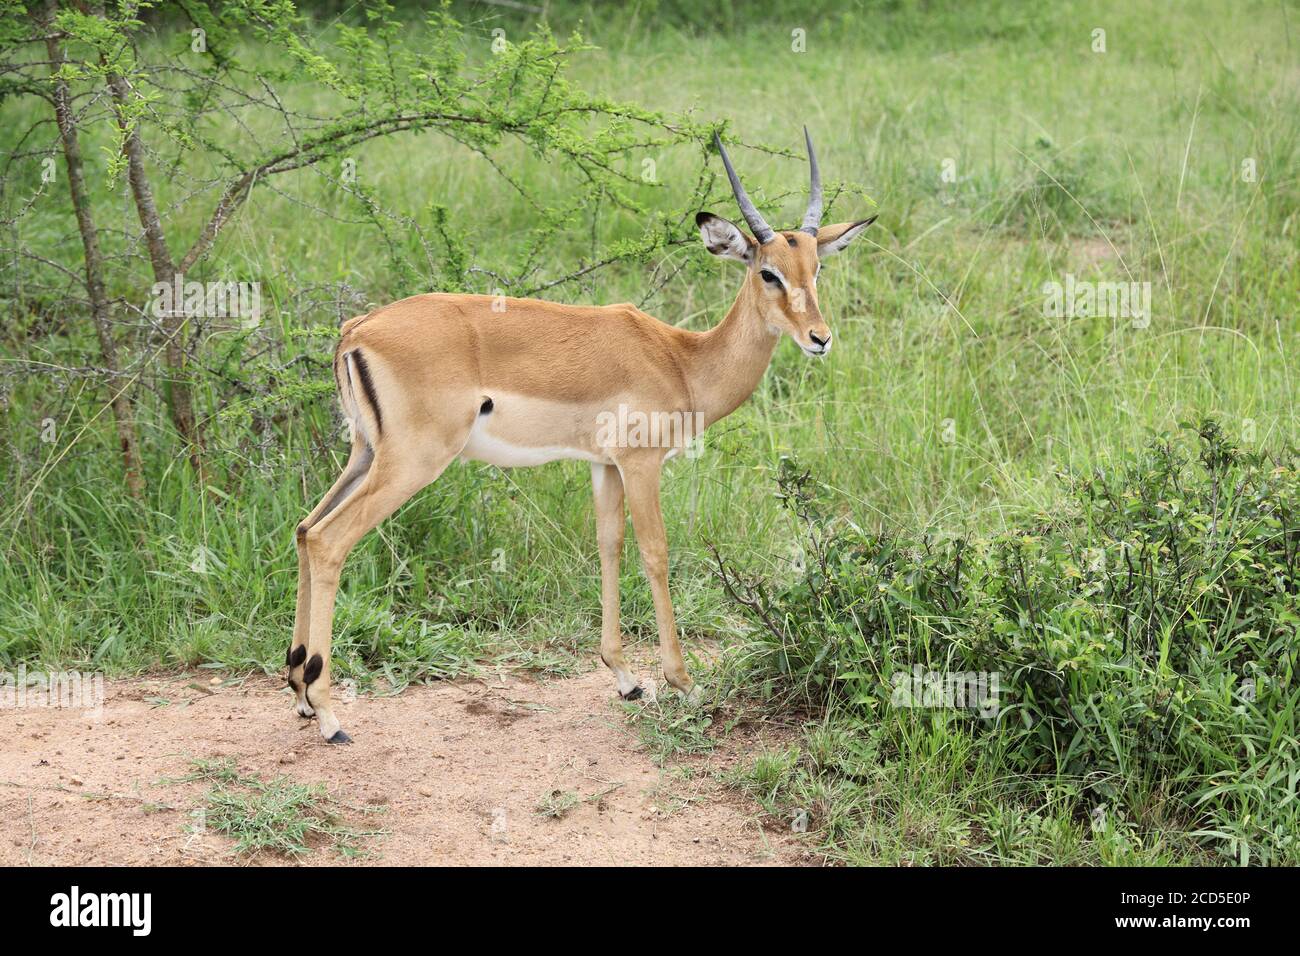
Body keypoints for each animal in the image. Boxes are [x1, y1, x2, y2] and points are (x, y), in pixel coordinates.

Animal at [287, 129, 877, 742]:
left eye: (816, 269)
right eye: (768, 272)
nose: (820, 338)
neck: (682, 360)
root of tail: (356, 330)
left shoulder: (604, 465)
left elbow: (608, 545)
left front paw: (627, 678)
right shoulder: (641, 464)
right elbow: (655, 552)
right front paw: (683, 682)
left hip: (365, 455)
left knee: (305, 529)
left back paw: (301, 693)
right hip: (411, 462)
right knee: (329, 540)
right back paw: (329, 715)